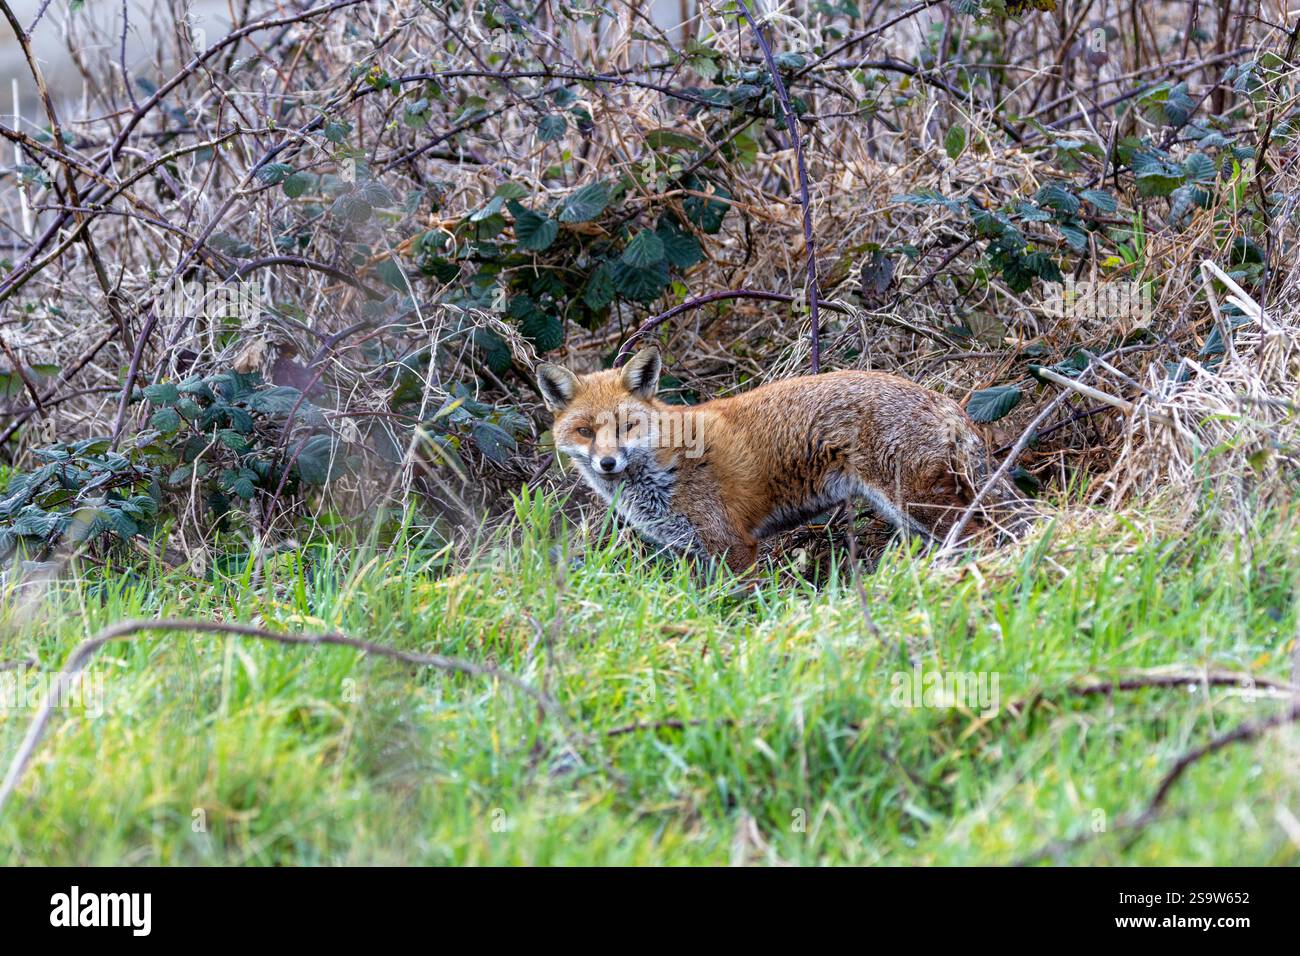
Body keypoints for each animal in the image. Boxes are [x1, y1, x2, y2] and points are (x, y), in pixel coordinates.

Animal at [536, 347, 1015, 573]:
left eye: (626, 427)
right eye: (585, 431)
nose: (608, 463)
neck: (664, 468)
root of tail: (945, 400)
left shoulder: (733, 544)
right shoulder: (695, 553)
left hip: (918, 503)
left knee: (984, 538)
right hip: (911, 515)